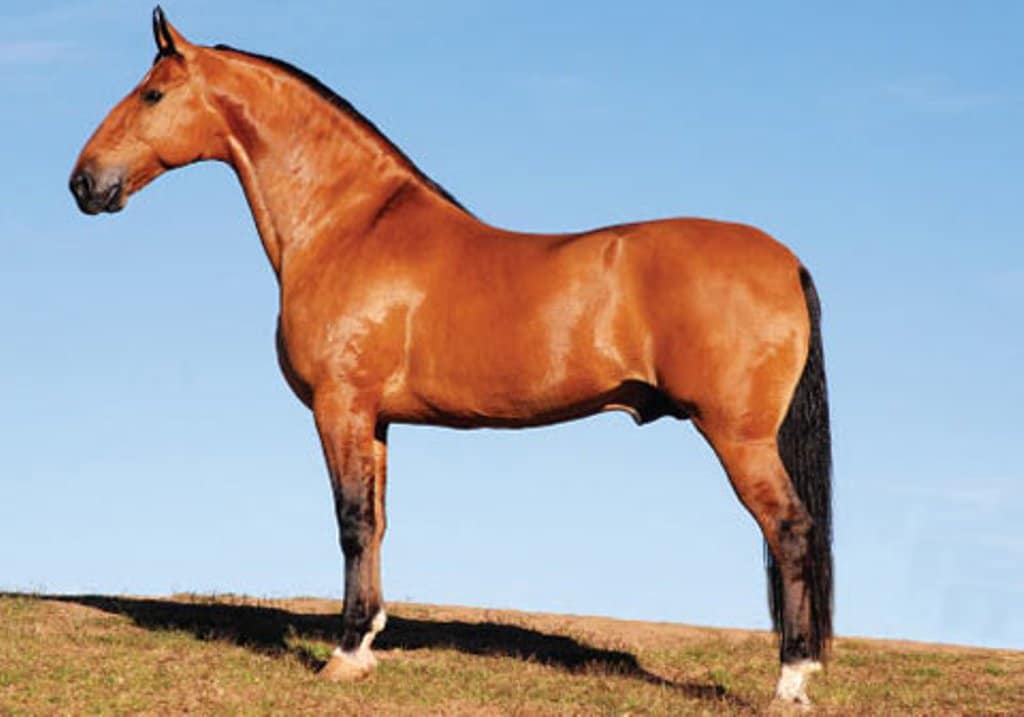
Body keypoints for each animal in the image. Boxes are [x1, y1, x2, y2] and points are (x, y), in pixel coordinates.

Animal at [70, 8, 833, 705]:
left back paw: (791, 680)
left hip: (738, 435)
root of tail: (786, 260)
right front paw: (368, 642)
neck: (349, 225)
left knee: (790, 530)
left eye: (152, 95)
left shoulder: (339, 406)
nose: (84, 183)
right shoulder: (375, 419)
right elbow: (377, 521)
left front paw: (343, 654)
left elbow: (351, 523)